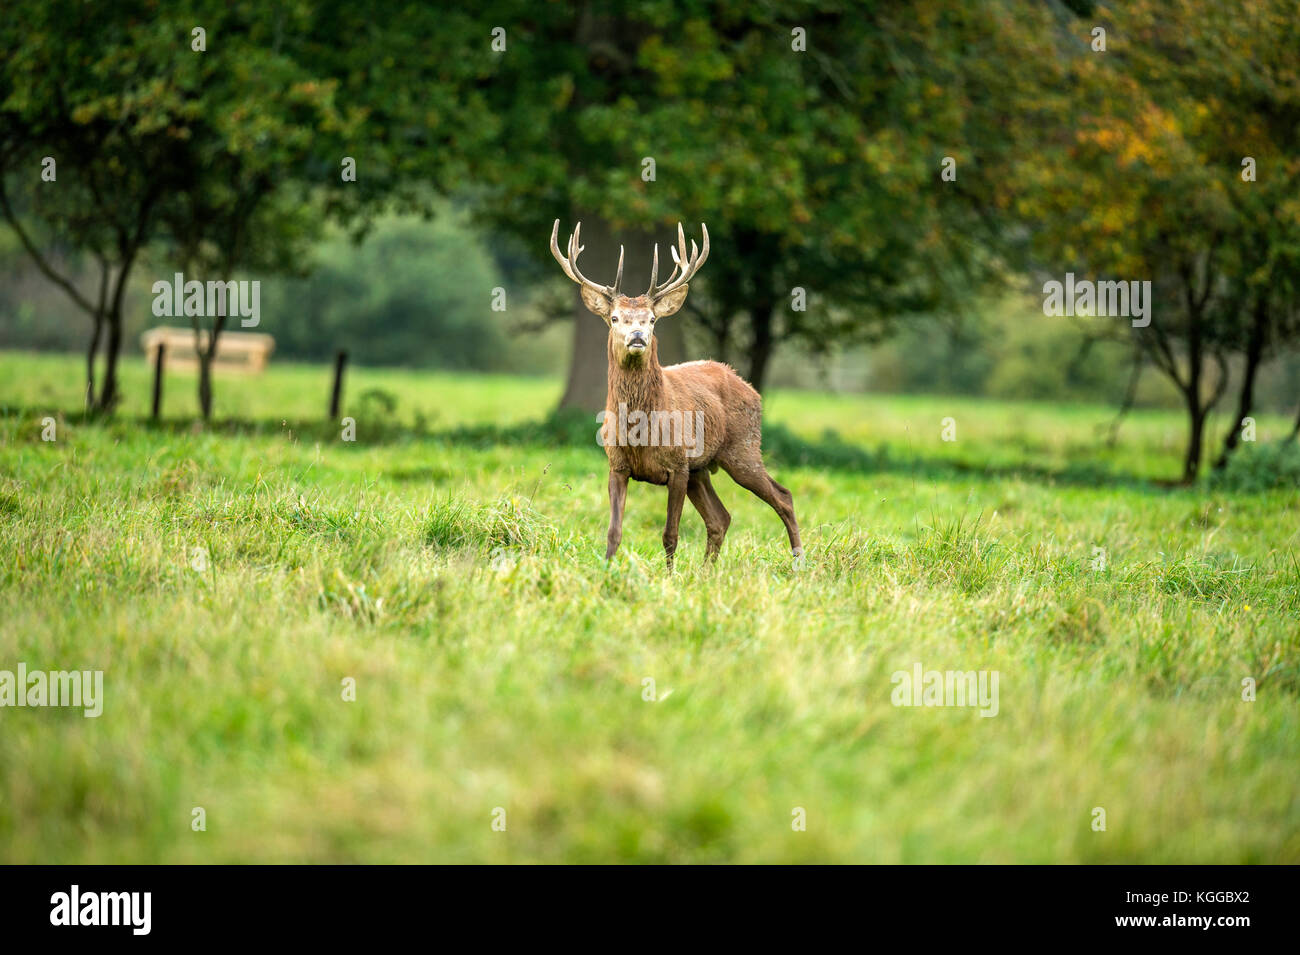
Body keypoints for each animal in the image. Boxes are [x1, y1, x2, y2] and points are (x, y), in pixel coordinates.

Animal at [550, 219, 803, 570]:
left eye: (652, 319)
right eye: (614, 318)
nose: (638, 336)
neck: (640, 432)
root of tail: (750, 387)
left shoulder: (679, 465)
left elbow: (670, 534)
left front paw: (669, 577)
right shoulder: (617, 464)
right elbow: (614, 531)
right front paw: (608, 570)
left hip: (743, 449)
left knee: (783, 497)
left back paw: (799, 563)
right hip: (703, 469)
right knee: (721, 517)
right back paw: (707, 572)